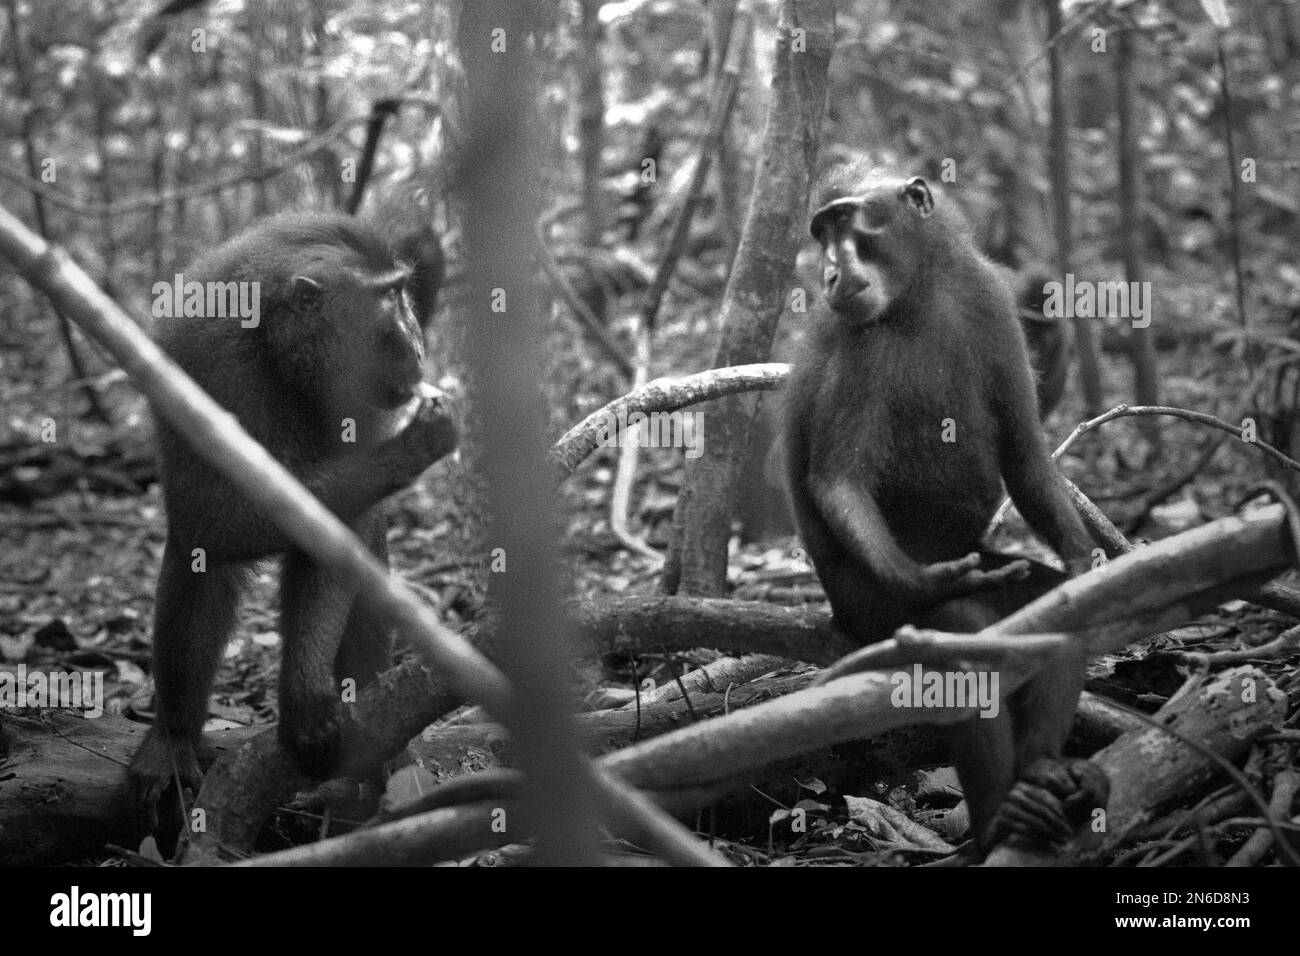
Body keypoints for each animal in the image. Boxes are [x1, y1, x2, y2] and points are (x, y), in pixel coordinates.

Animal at [129, 212, 458, 828]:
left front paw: (304, 696)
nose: (419, 348)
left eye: (403, 291)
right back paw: (174, 736)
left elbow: (341, 531)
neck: (277, 348)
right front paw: (415, 445)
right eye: (388, 298)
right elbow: (214, 517)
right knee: (197, 554)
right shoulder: (212, 363)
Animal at [784, 163, 1107, 854]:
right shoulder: (860, 344)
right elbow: (838, 481)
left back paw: (1044, 776)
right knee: (958, 634)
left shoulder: (991, 299)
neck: (920, 294)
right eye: (820, 232)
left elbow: (1024, 453)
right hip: (864, 609)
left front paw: (1082, 558)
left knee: (1056, 616)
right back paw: (1000, 819)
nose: (828, 272)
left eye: (843, 223)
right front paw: (927, 579)